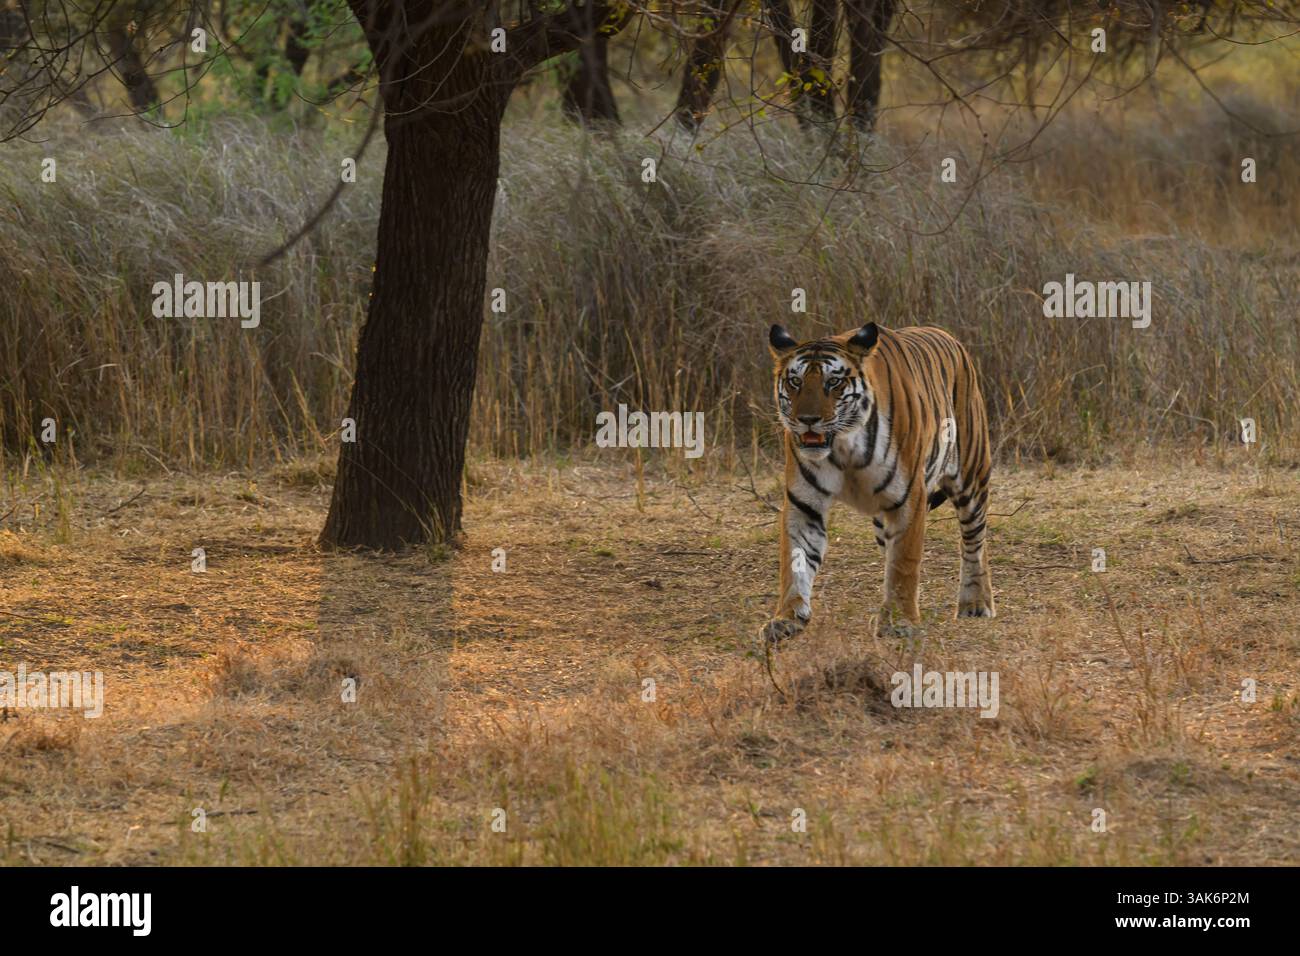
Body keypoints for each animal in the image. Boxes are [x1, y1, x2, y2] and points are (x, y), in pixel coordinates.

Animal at [762, 321, 995, 643]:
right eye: (795, 382)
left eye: (833, 382)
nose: (807, 419)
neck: (844, 446)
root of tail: (949, 337)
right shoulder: (803, 503)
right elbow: (795, 560)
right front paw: (786, 617)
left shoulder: (910, 498)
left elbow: (904, 563)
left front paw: (900, 621)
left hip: (971, 476)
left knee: (975, 542)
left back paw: (976, 603)